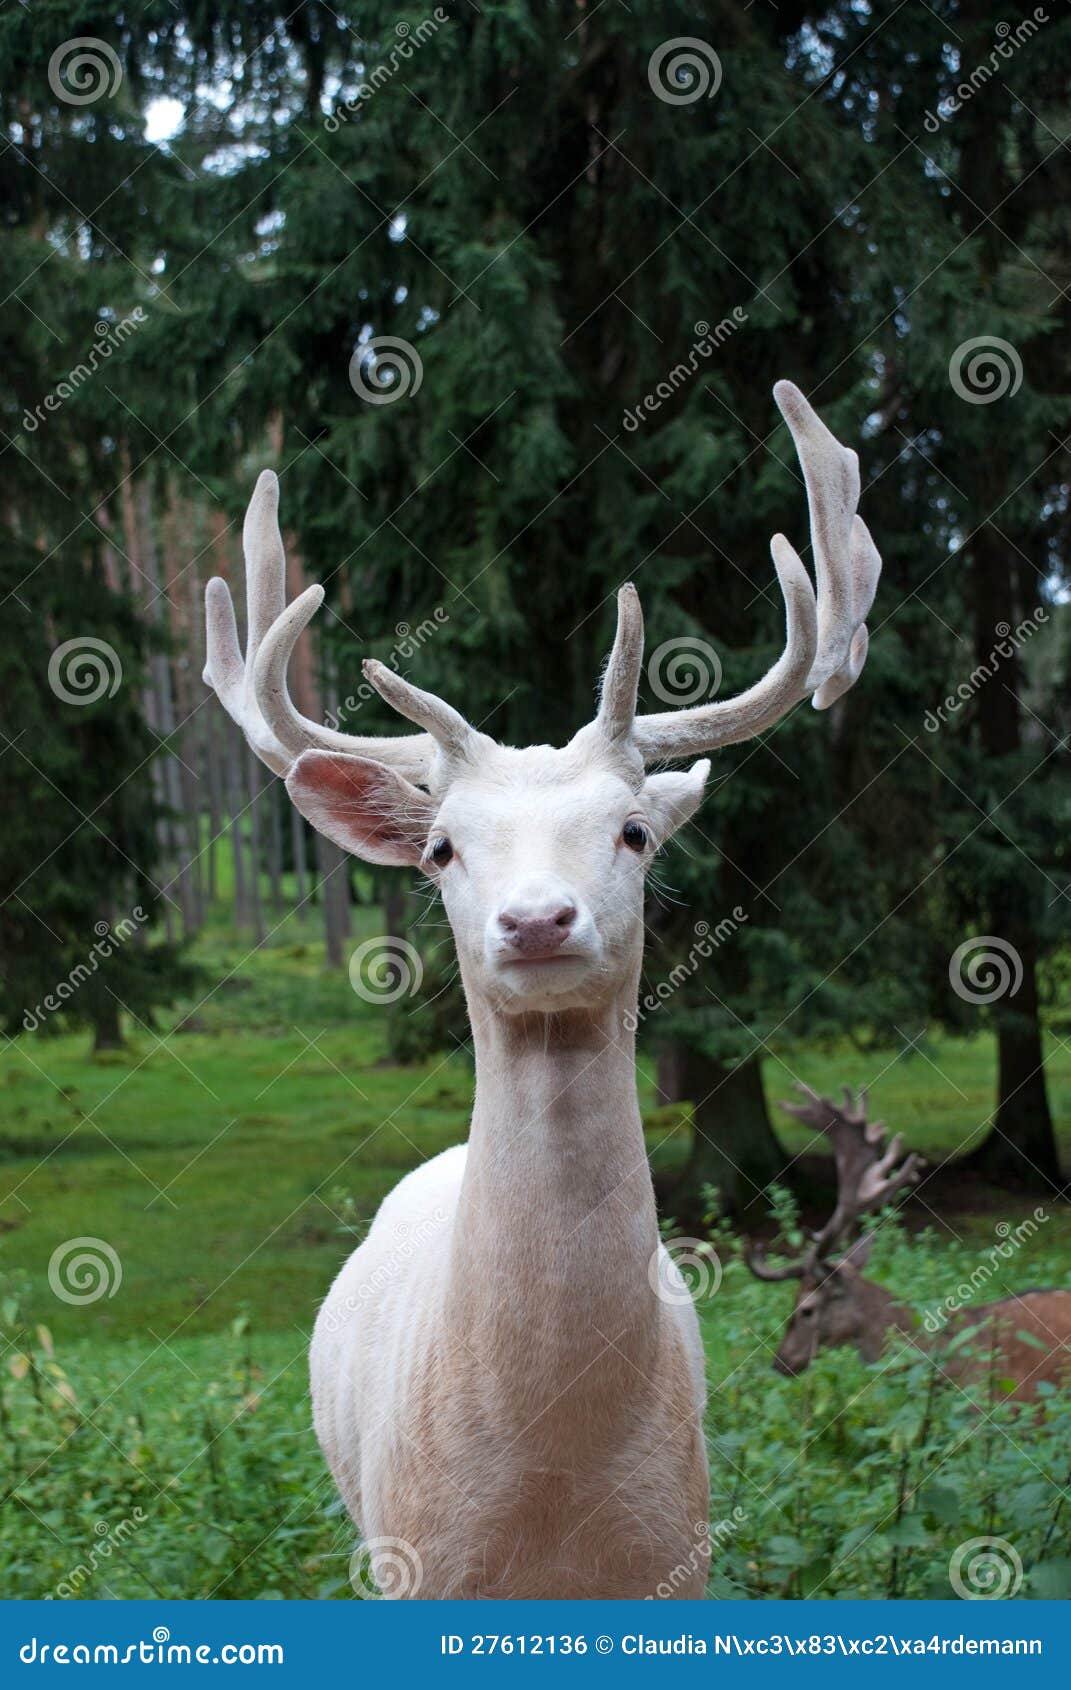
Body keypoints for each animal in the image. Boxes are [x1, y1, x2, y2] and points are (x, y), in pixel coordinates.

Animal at [203, 381, 881, 1599]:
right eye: (440, 850)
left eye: (635, 831)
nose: (535, 920)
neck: (551, 1483)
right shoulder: (409, 1557)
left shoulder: (677, 1556)